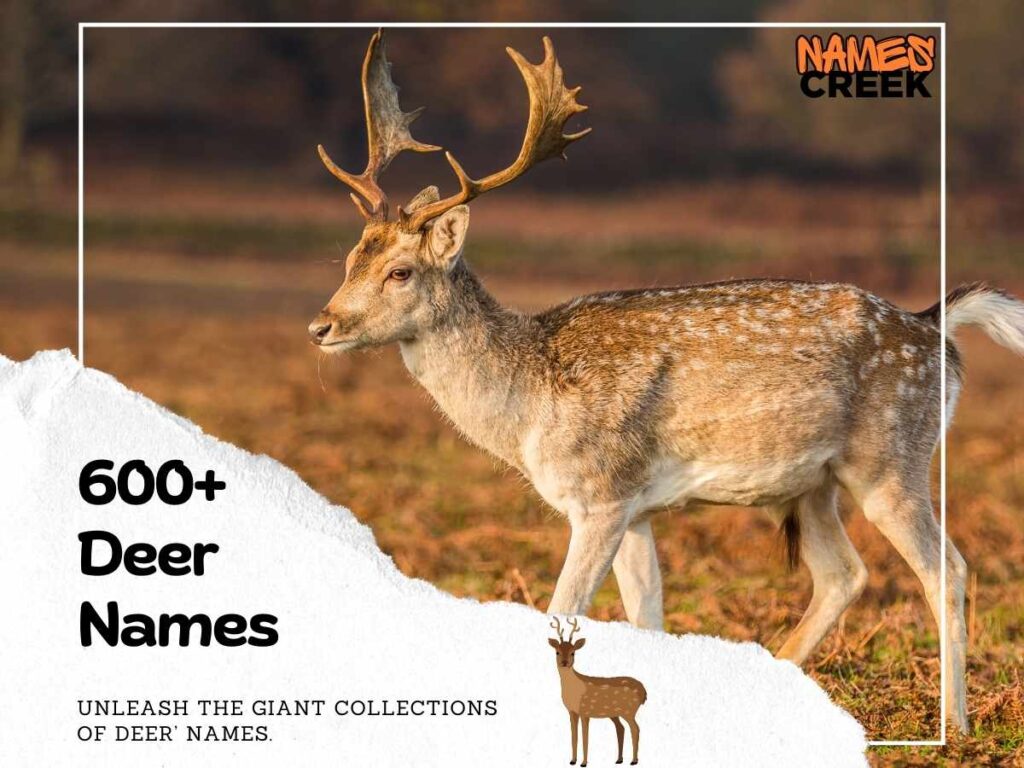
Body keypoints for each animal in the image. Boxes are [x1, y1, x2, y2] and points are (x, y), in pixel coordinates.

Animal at [307, 30, 1024, 735]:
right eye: (348, 259)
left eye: (400, 271)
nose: (321, 325)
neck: (530, 403)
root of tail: (936, 326)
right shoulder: (637, 507)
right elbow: (646, 618)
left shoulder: (601, 494)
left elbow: (562, 608)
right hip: (810, 485)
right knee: (844, 574)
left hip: (891, 459)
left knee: (946, 569)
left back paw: (955, 725)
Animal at [549, 616, 646, 766]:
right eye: (557, 652)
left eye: (573, 652)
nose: (565, 663)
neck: (574, 690)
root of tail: (643, 692)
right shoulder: (572, 711)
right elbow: (574, 736)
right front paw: (572, 761)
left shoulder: (585, 710)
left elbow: (585, 737)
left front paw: (583, 763)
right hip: (615, 713)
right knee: (621, 728)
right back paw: (619, 759)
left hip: (629, 710)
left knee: (635, 729)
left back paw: (634, 761)